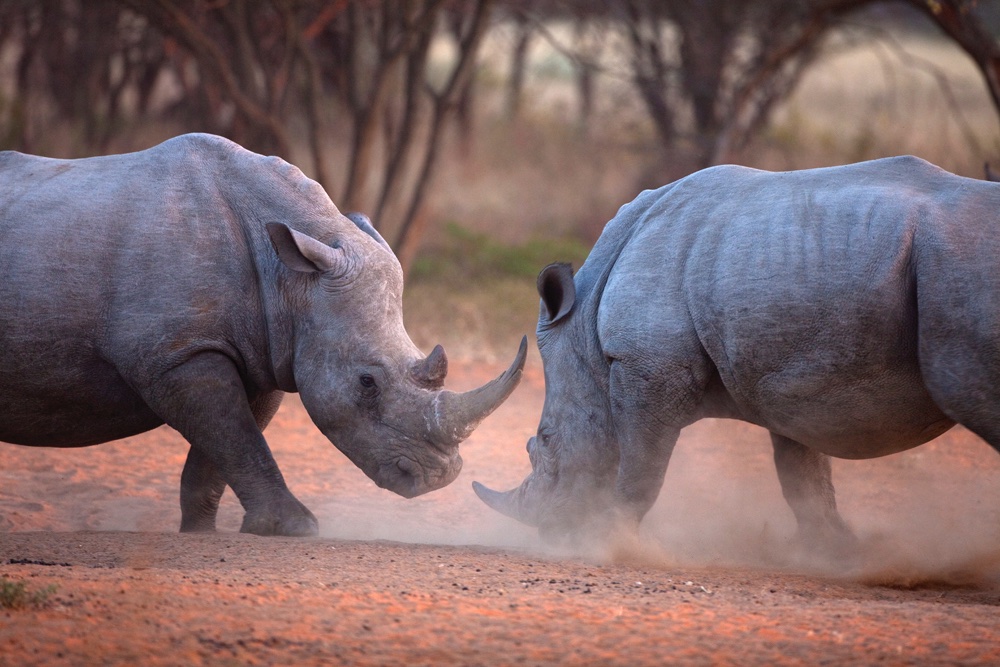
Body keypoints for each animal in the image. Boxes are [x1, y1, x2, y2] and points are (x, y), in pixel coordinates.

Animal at [0, 133, 526, 537]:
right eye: (366, 383)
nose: (438, 478)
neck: (292, 279)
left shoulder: (264, 352)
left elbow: (224, 445)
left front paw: (202, 532)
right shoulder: (175, 354)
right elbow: (236, 436)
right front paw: (297, 529)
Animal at [475, 156, 1000, 547]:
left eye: (545, 440)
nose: (551, 532)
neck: (585, 328)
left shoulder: (648, 367)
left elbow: (641, 465)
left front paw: (607, 540)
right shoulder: (796, 376)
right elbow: (801, 476)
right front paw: (833, 552)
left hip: (961, 263)